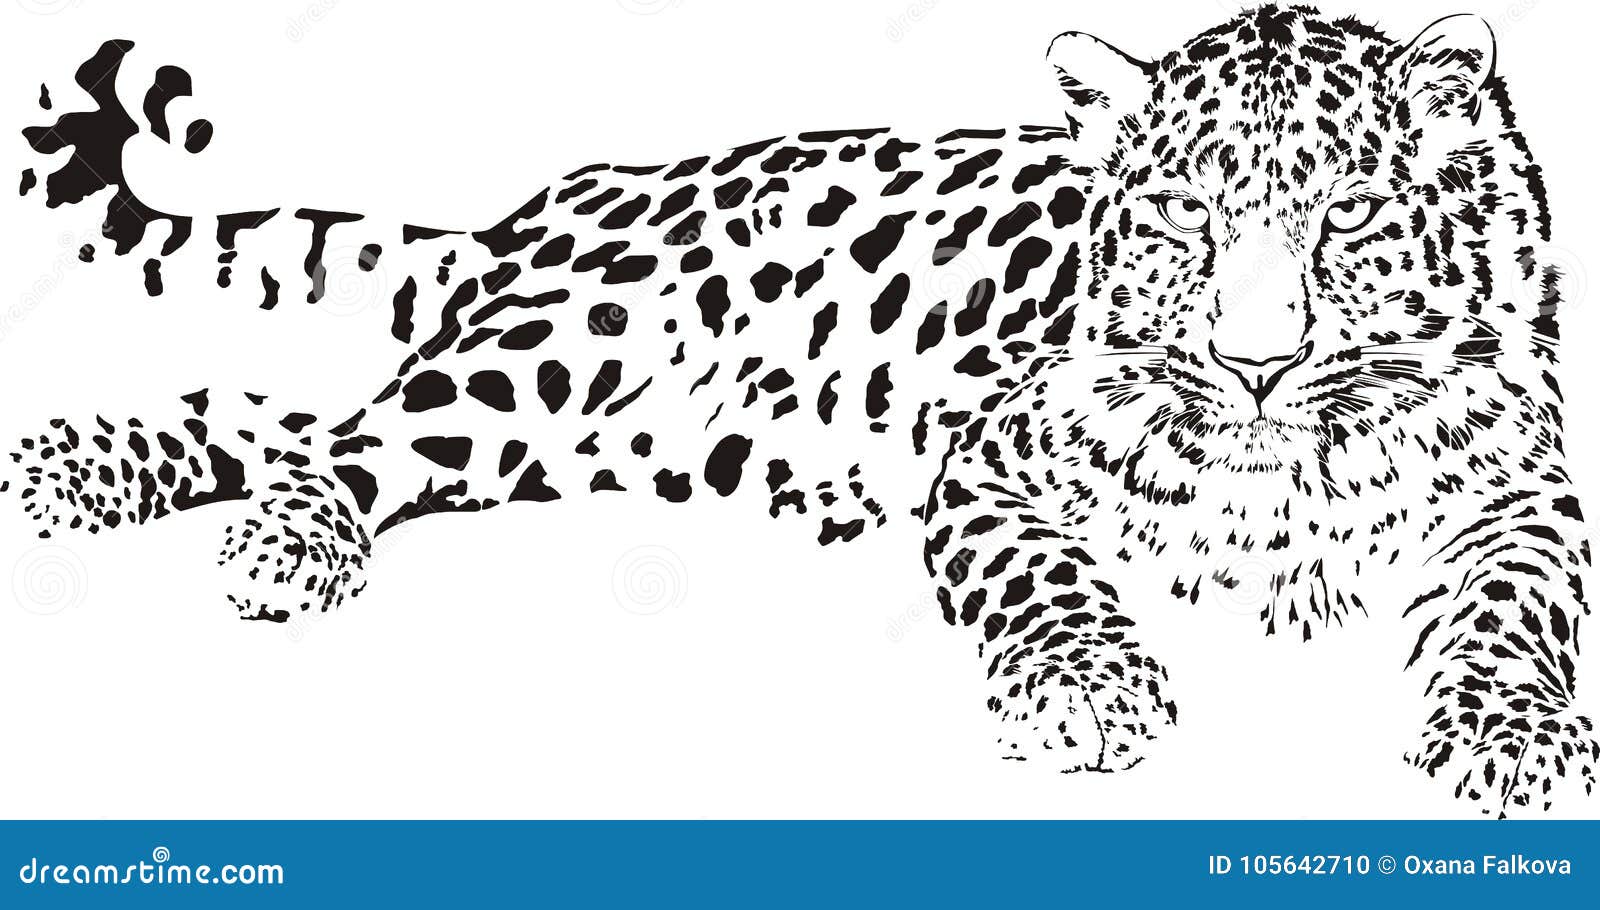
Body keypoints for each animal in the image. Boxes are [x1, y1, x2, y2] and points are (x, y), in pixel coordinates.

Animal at [9, 5, 1596, 817]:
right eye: (1181, 221)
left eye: (1348, 217)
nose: (1257, 364)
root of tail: (542, 209)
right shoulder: (996, 458)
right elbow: (1052, 580)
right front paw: (1087, 692)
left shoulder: (1524, 492)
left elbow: (1518, 607)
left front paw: (1515, 738)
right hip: (541, 364)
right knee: (330, 436)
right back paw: (244, 534)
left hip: (552, 438)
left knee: (267, 409)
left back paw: (56, 469)